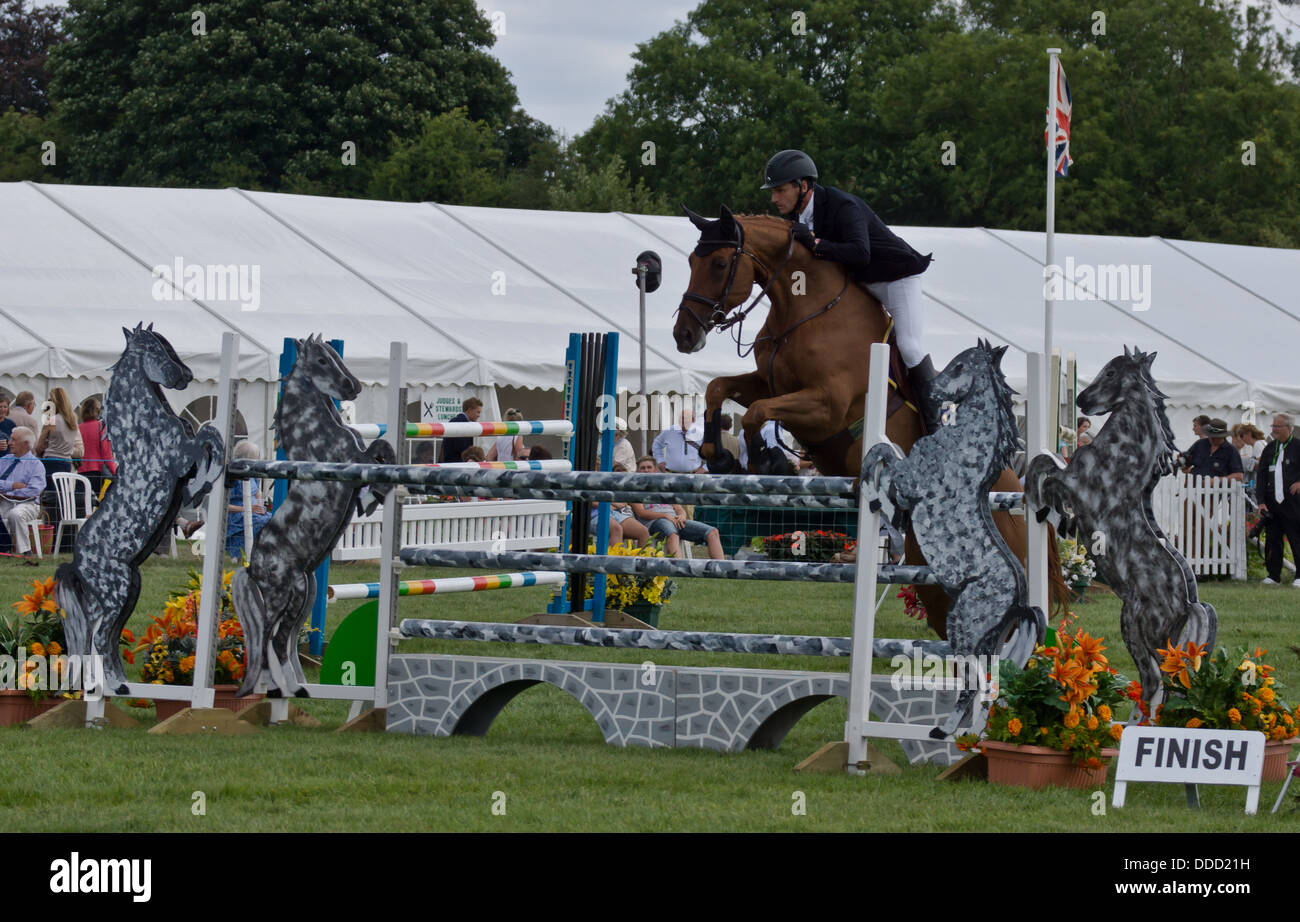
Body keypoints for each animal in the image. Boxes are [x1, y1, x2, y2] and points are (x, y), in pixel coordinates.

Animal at [57, 323, 225, 693]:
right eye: (155, 349)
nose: (186, 376)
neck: (145, 430)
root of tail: (76, 563)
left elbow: (209, 440)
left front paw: (198, 489)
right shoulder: (181, 457)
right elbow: (210, 437)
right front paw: (203, 485)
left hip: (126, 588)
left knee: (98, 637)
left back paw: (112, 684)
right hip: (118, 589)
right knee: (101, 638)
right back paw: (115, 687)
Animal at [233, 335, 396, 698]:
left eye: (335, 354)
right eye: (322, 361)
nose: (354, 387)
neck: (314, 431)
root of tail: (252, 567)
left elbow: (384, 450)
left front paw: (374, 497)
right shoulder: (353, 462)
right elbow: (381, 448)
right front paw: (376, 495)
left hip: (304, 590)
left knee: (285, 642)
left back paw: (299, 688)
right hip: (280, 596)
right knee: (269, 639)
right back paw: (278, 689)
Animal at [674, 205, 1061, 636]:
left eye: (720, 263)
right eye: (691, 262)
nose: (683, 335)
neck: (805, 308)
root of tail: (1018, 494)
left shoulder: (826, 405)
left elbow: (758, 412)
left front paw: (766, 461)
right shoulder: (768, 381)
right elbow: (718, 388)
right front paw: (718, 455)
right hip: (931, 579)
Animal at [863, 341, 1046, 737]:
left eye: (960, 365)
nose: (932, 391)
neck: (964, 447)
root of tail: (1019, 604)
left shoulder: (910, 481)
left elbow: (883, 455)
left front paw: (882, 512)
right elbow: (886, 464)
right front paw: (888, 522)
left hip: (963, 626)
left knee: (976, 681)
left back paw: (948, 731)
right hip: (988, 638)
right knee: (989, 682)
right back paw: (968, 731)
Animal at [1025, 347, 1217, 714]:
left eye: (1111, 372)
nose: (1082, 400)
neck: (1119, 460)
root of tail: (1189, 606)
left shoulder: (1076, 487)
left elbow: (1045, 465)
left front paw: (1036, 497)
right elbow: (1049, 465)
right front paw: (1050, 510)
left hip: (1139, 627)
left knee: (1158, 681)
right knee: (1165, 684)